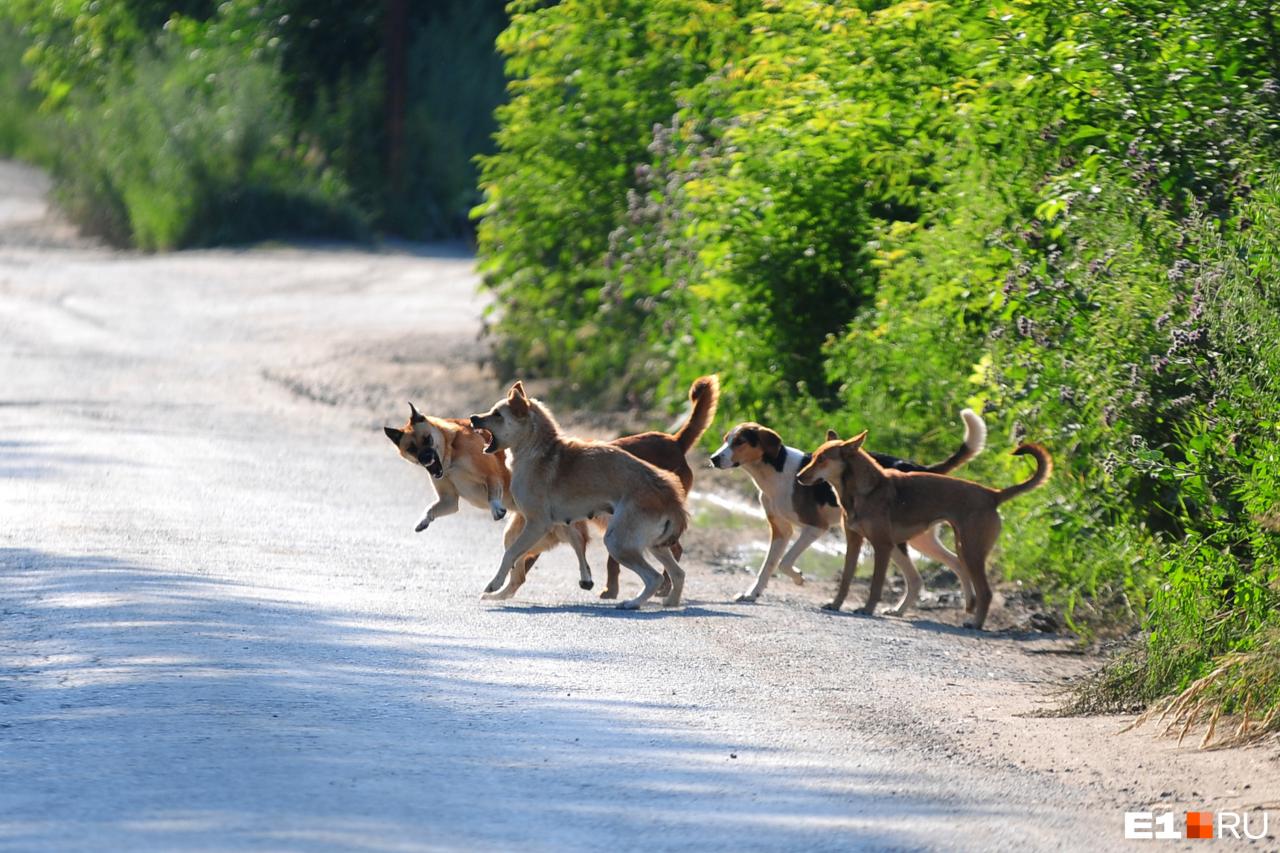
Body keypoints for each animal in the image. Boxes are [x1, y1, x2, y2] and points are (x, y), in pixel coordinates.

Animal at [381, 402, 596, 589]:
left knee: (579, 544)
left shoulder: (492, 474)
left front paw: (496, 508)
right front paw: (423, 521)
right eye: (411, 448)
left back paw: (586, 577)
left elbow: (493, 491)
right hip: (521, 532)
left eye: (427, 439)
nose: (426, 459)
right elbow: (431, 508)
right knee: (518, 565)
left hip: (558, 523)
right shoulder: (448, 500)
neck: (451, 456)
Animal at [471, 381, 691, 607]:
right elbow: (576, 545)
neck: (537, 450)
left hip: (617, 541)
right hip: (655, 544)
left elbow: (510, 553)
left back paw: (633, 603)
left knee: (654, 577)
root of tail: (672, 499)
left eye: (497, 414)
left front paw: (494, 584)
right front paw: (585, 578)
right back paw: (671, 601)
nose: (473, 418)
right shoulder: (563, 522)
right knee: (678, 573)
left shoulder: (537, 523)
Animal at [706, 409, 983, 604]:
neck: (775, 471)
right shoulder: (781, 530)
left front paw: (798, 578)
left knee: (941, 569)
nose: (714, 458)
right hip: (913, 539)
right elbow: (768, 566)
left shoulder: (815, 527)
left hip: (896, 538)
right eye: (725, 440)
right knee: (934, 572)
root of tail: (919, 467)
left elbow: (784, 562)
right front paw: (752, 594)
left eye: (740, 442)